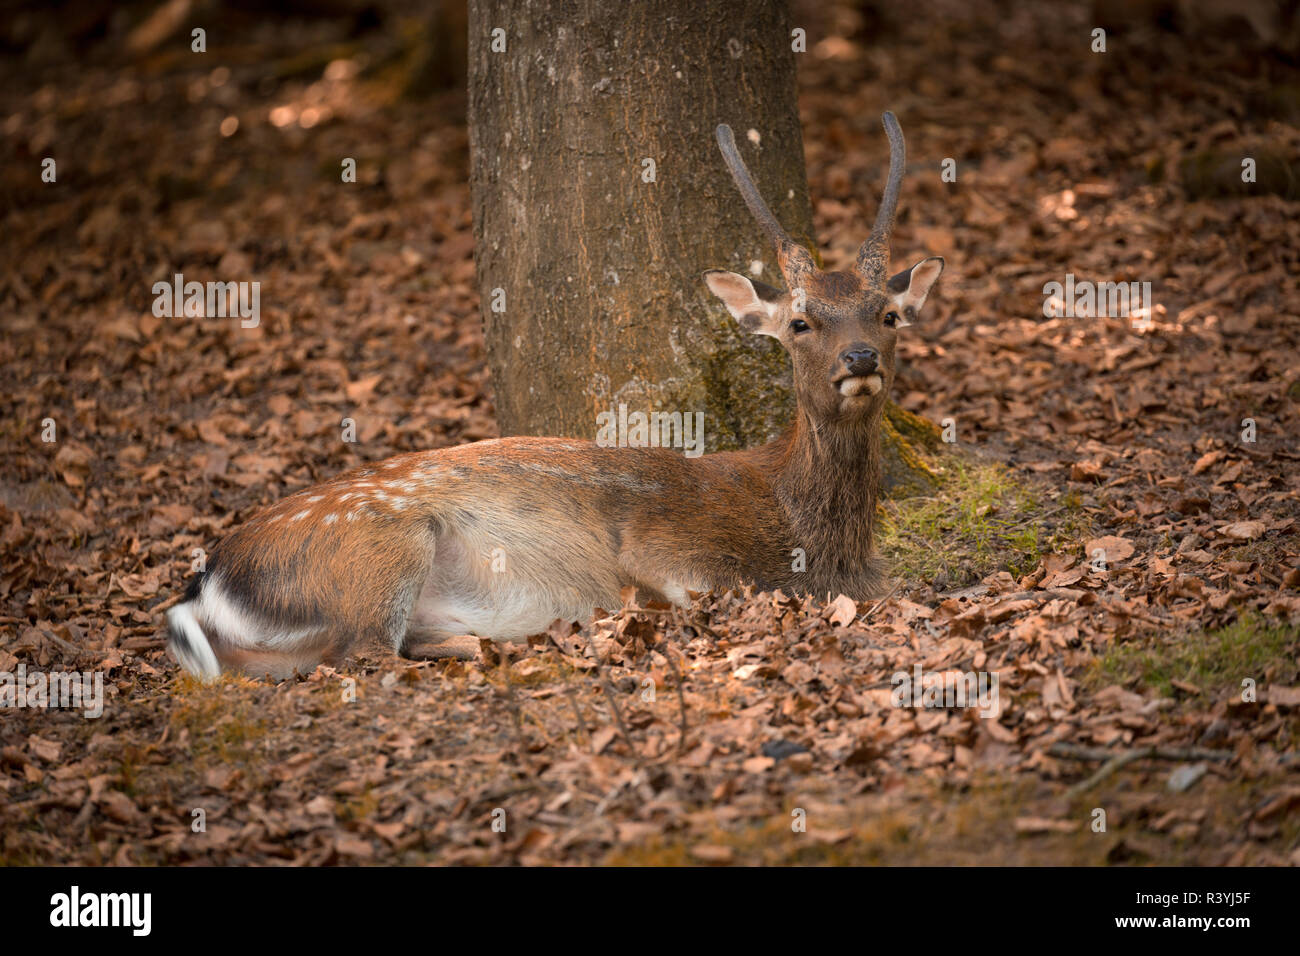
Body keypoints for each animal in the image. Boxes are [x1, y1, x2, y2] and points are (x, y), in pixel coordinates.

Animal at [166, 112, 944, 681]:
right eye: (801, 322)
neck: (809, 537)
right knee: (363, 654)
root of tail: (203, 587)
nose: (859, 357)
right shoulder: (666, 551)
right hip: (381, 546)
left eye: (888, 314)